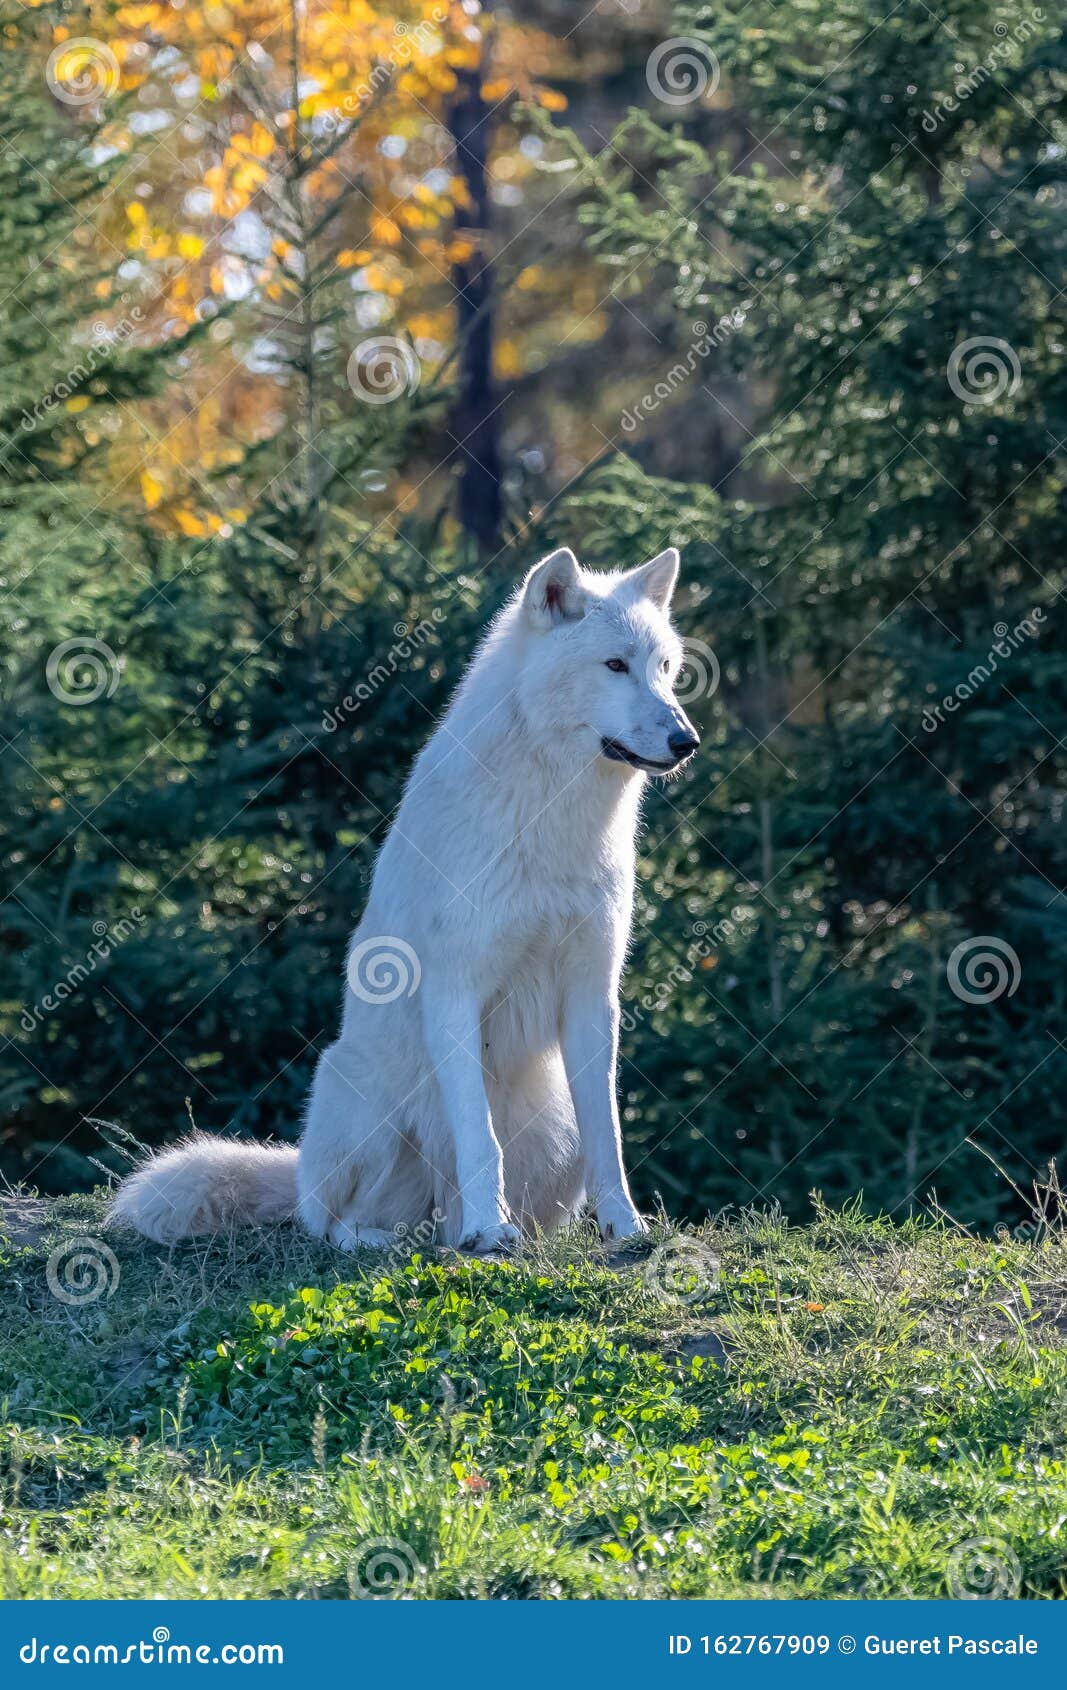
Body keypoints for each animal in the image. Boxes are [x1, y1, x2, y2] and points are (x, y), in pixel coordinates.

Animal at [112, 546, 700, 1253]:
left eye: (665, 669)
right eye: (614, 665)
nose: (687, 741)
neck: (548, 820)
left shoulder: (592, 995)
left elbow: (608, 1135)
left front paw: (626, 1229)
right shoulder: (454, 989)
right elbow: (479, 1137)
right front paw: (490, 1230)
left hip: (553, 1132)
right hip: (368, 1105)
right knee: (328, 1223)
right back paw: (402, 1240)